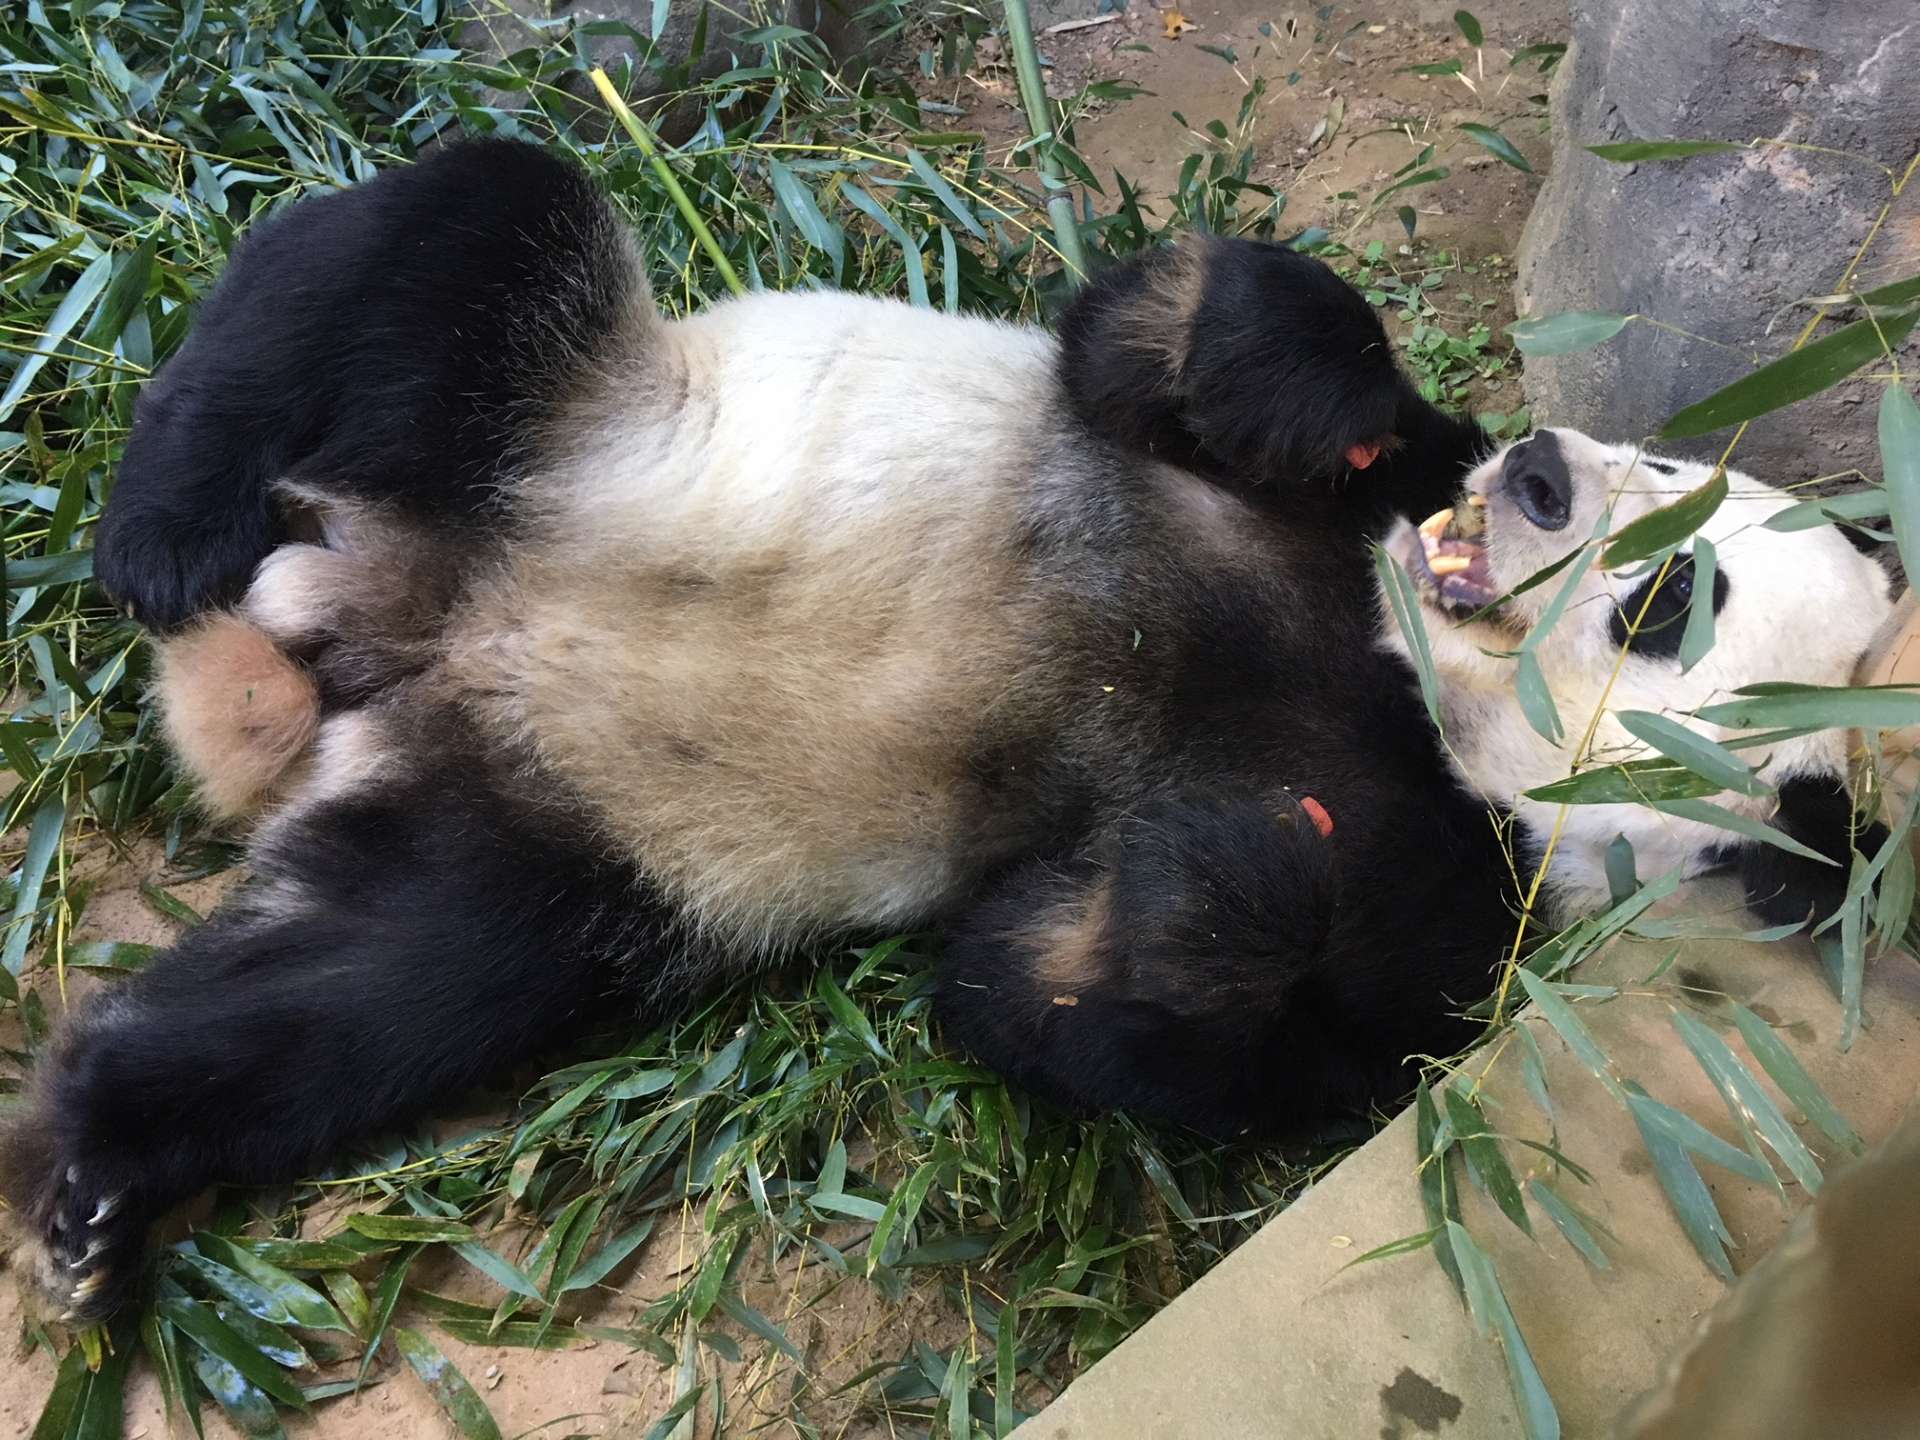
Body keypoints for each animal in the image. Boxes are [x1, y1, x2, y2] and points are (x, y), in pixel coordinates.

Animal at [0, 139, 1896, 1322]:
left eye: (1677, 599)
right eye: (1666, 462)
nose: (1544, 470)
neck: (1386, 667)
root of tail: (364, 637)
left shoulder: (1459, 910)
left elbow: (1063, 999)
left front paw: (1215, 886)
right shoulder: (1281, 480)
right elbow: (1151, 337)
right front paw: (1326, 390)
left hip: (550, 838)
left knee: (382, 984)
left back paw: (99, 1167)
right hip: (560, 416)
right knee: (448, 251)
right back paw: (163, 522)